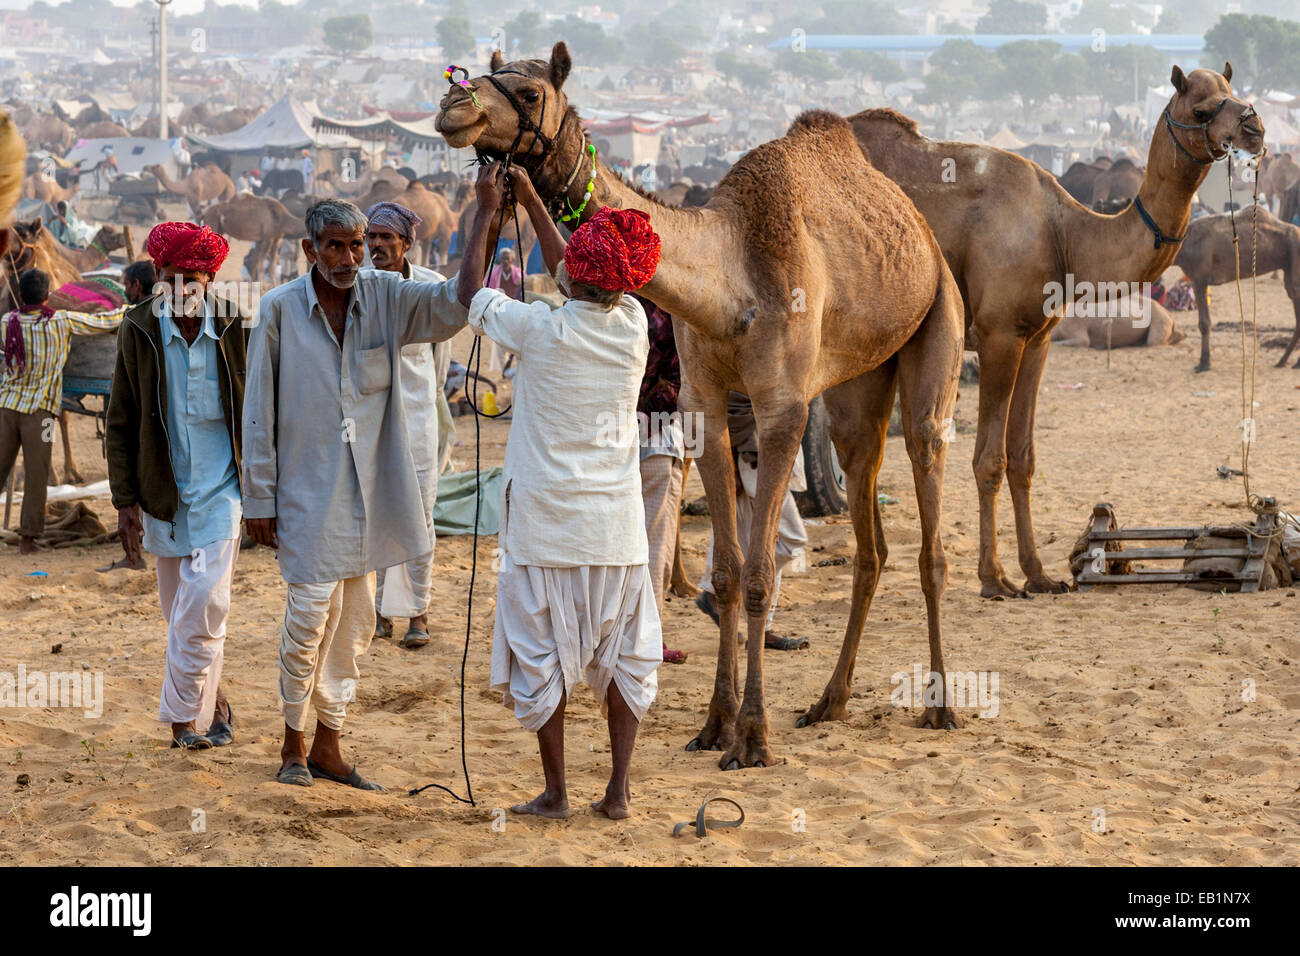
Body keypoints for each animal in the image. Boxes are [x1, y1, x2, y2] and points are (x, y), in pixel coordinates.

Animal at [439, 44, 967, 768]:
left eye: (528, 91)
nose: (453, 106)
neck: (729, 280)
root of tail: (922, 232)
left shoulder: (781, 409)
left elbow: (761, 575)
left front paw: (753, 737)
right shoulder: (705, 407)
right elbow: (726, 569)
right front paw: (716, 725)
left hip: (939, 318)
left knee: (926, 484)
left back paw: (941, 707)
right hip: (858, 386)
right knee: (869, 528)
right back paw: (828, 702)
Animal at [850, 64, 1264, 598]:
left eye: (1232, 92)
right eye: (1200, 108)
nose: (1255, 129)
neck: (1064, 231)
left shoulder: (1037, 338)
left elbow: (1023, 457)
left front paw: (1039, 574)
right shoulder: (999, 334)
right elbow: (989, 459)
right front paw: (995, 579)